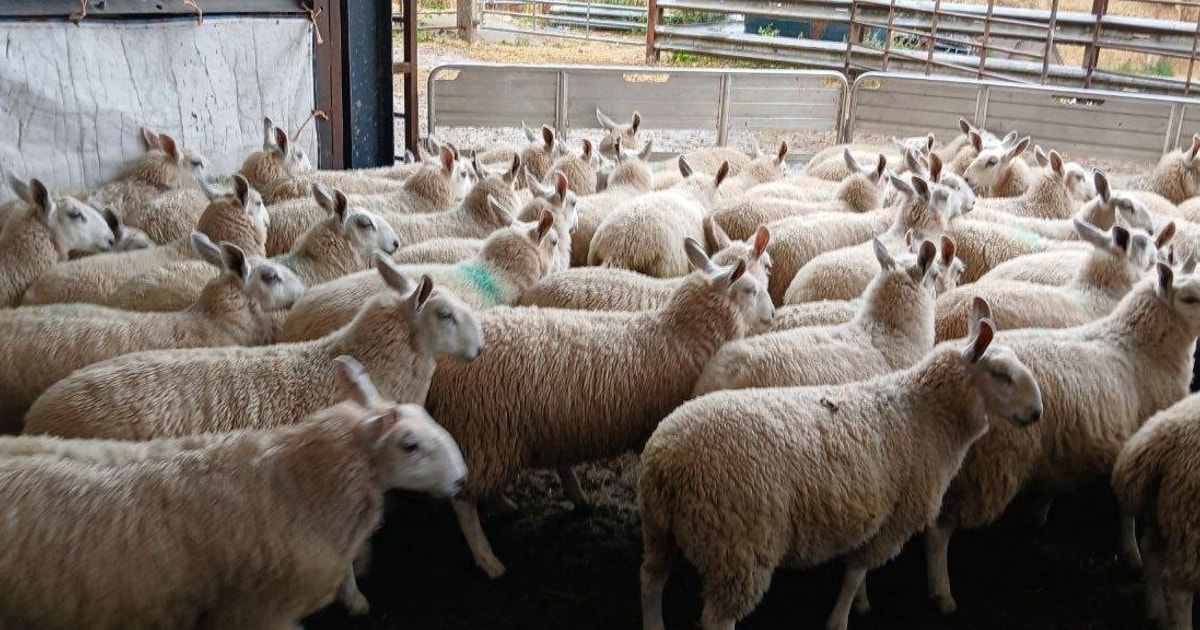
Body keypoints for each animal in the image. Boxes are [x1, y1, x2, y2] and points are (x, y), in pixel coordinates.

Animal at [420, 239, 772, 578]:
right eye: (750, 288)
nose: (771, 314)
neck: (679, 336)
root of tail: (443, 363)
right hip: (483, 427)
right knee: (463, 502)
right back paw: (487, 559)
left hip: (496, 434)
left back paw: (510, 504)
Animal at [638, 311, 1043, 630]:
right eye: (1002, 375)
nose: (1037, 412)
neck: (927, 413)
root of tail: (667, 460)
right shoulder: (895, 520)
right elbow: (854, 573)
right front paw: (840, 619)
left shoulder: (867, 513)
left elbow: (855, 571)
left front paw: (861, 603)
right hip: (736, 546)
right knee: (715, 619)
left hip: (660, 530)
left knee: (651, 581)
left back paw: (654, 624)